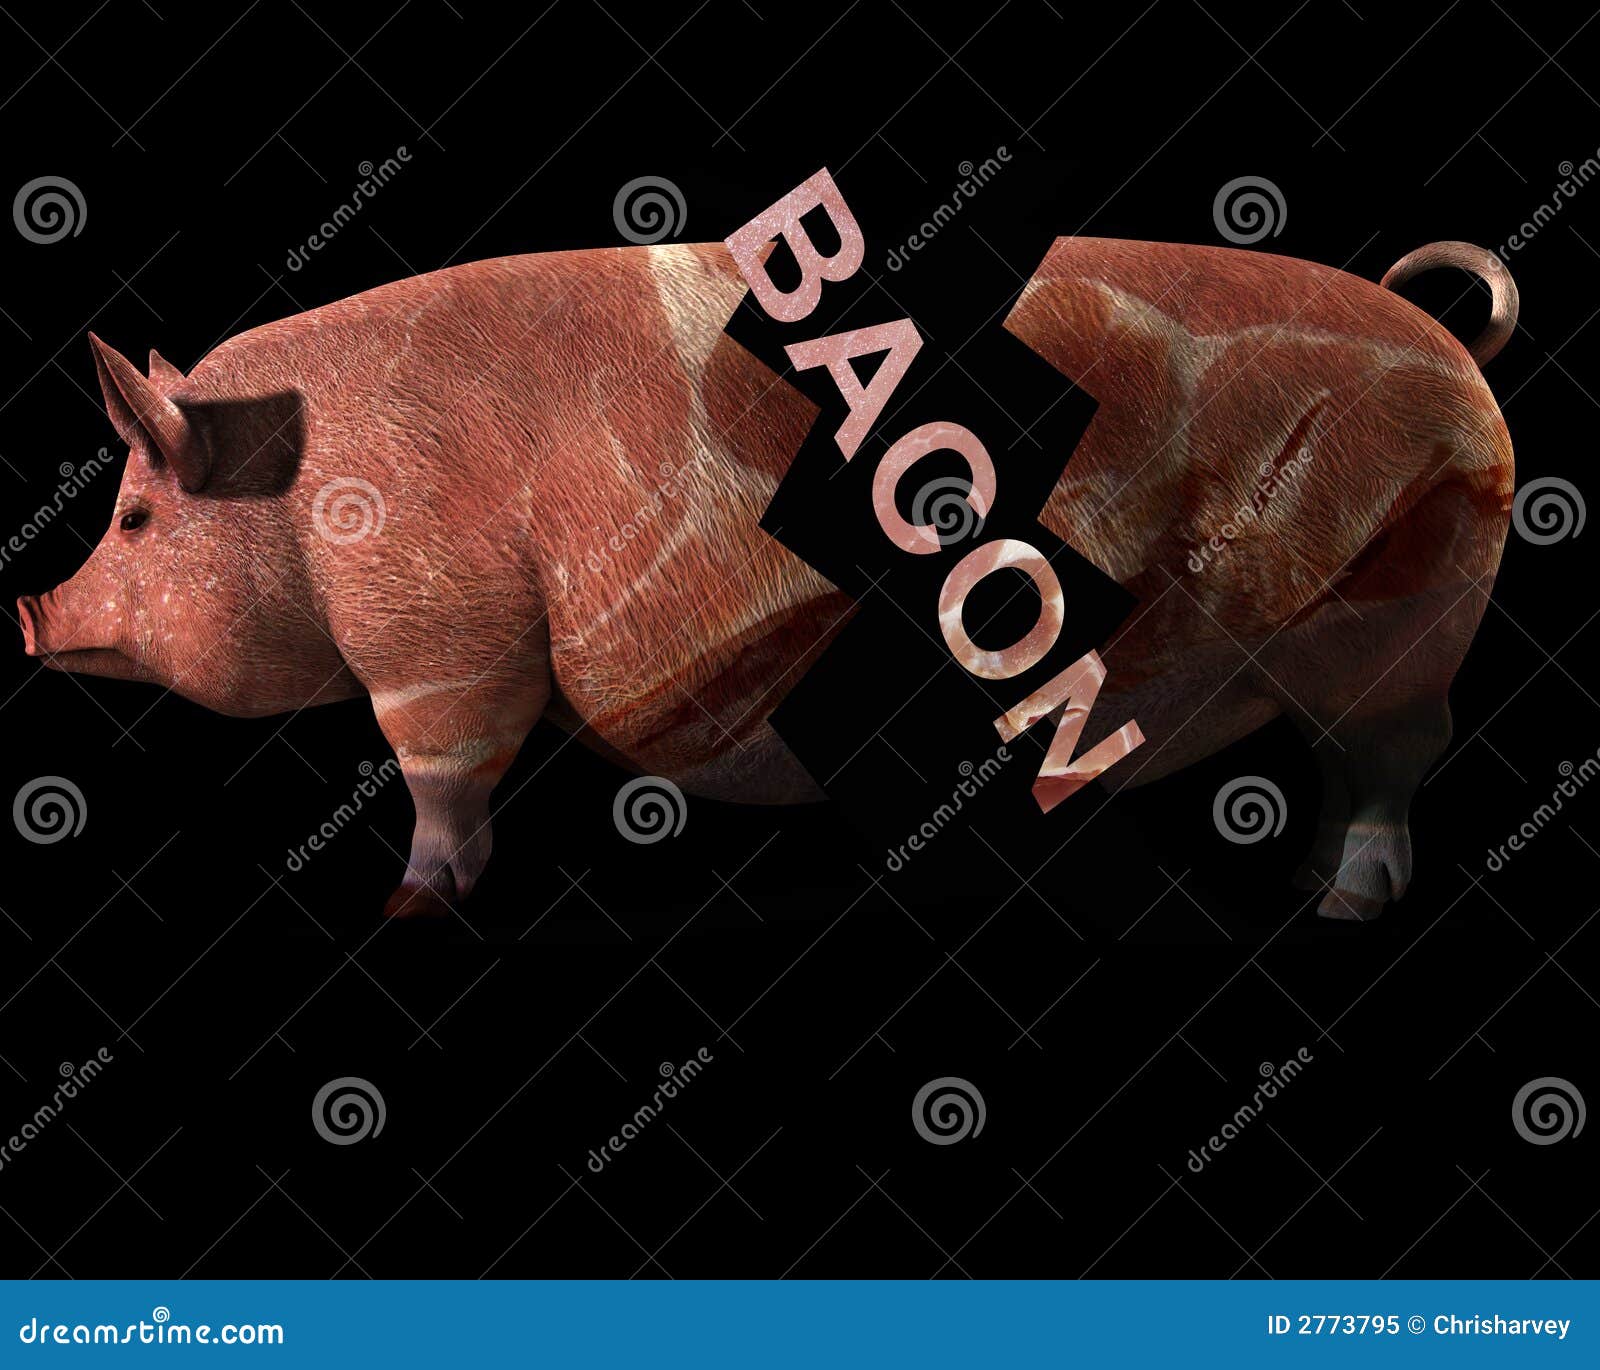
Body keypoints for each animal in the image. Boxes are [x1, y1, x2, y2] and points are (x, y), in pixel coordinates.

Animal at [17, 237, 1515, 922]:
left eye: (135, 515)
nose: (29, 612)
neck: (305, 494)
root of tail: (1454, 349)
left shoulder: (441, 648)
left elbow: (442, 780)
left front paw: (404, 910)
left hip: (1402, 614)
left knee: (1401, 756)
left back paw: (1344, 902)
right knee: (1350, 762)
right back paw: (1317, 884)